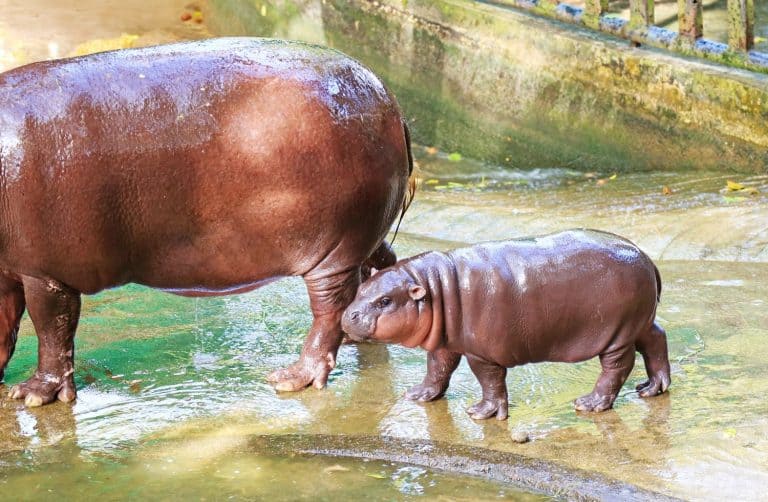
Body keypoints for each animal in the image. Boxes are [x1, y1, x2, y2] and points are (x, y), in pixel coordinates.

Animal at [0, 37, 413, 407]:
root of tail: (391, 103)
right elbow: (6, 325)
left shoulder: (45, 275)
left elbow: (52, 332)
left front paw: (33, 395)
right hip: (362, 234)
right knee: (381, 262)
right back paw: (361, 334)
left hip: (334, 250)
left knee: (328, 309)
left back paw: (292, 379)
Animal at [341, 230, 671, 419]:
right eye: (361, 288)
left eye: (385, 301)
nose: (347, 315)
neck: (435, 287)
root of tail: (645, 256)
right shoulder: (446, 341)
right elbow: (437, 367)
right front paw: (418, 395)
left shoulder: (481, 353)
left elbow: (489, 381)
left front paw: (480, 413)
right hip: (640, 322)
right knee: (656, 338)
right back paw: (652, 388)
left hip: (617, 333)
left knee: (618, 366)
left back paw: (589, 404)